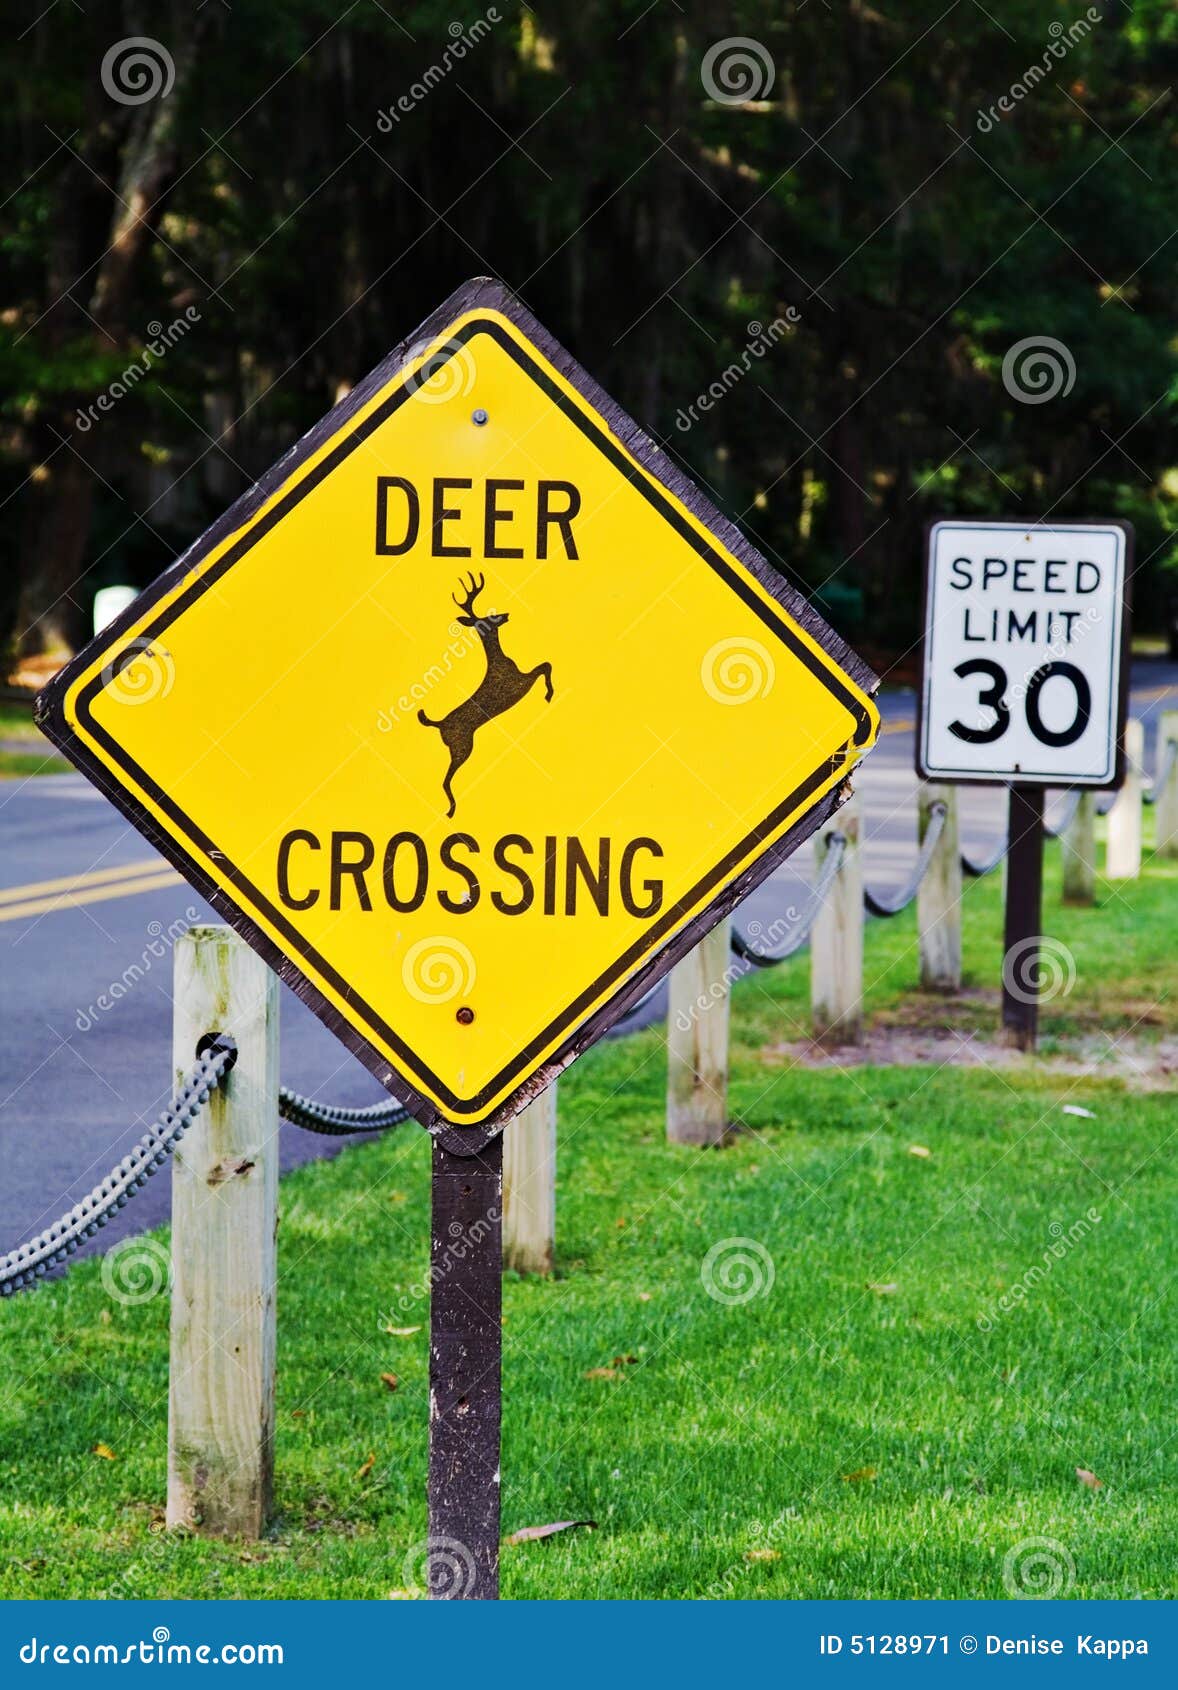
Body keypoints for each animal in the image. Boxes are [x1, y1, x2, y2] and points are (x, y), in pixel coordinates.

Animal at [418, 572, 554, 817]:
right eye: (490, 616)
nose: (506, 614)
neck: (500, 661)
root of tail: (438, 724)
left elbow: (545, 665)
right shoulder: (520, 684)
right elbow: (545, 666)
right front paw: (549, 694)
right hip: (461, 746)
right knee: (445, 779)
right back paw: (451, 811)